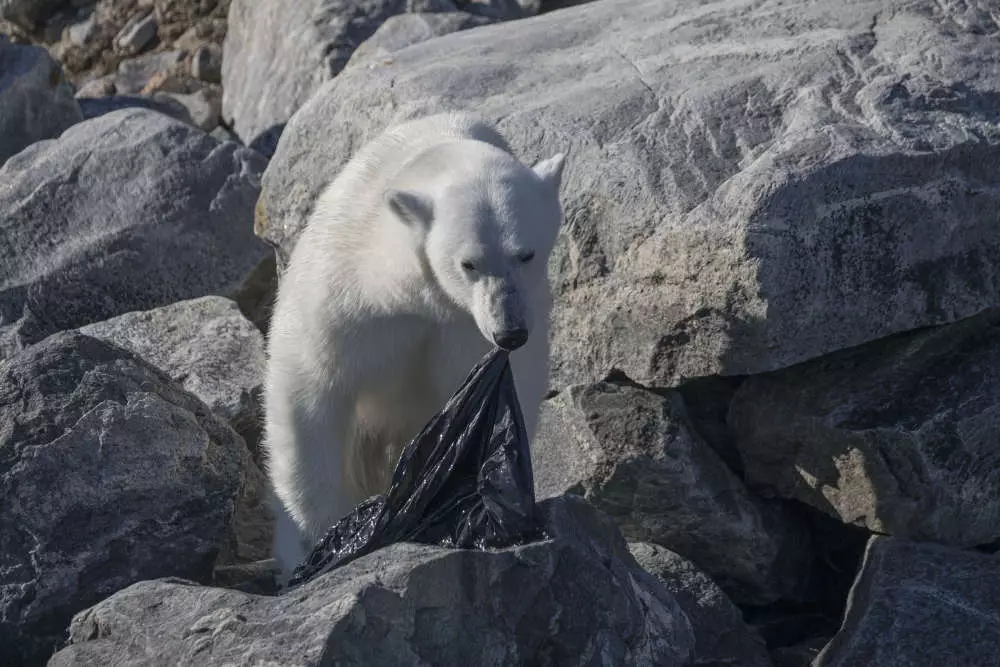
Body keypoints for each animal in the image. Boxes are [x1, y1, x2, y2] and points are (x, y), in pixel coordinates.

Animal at [262, 111, 568, 580]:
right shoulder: (346, 299)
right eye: (469, 263)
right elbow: (310, 394)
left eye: (526, 254)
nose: (510, 331)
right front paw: (324, 535)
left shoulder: (467, 329)